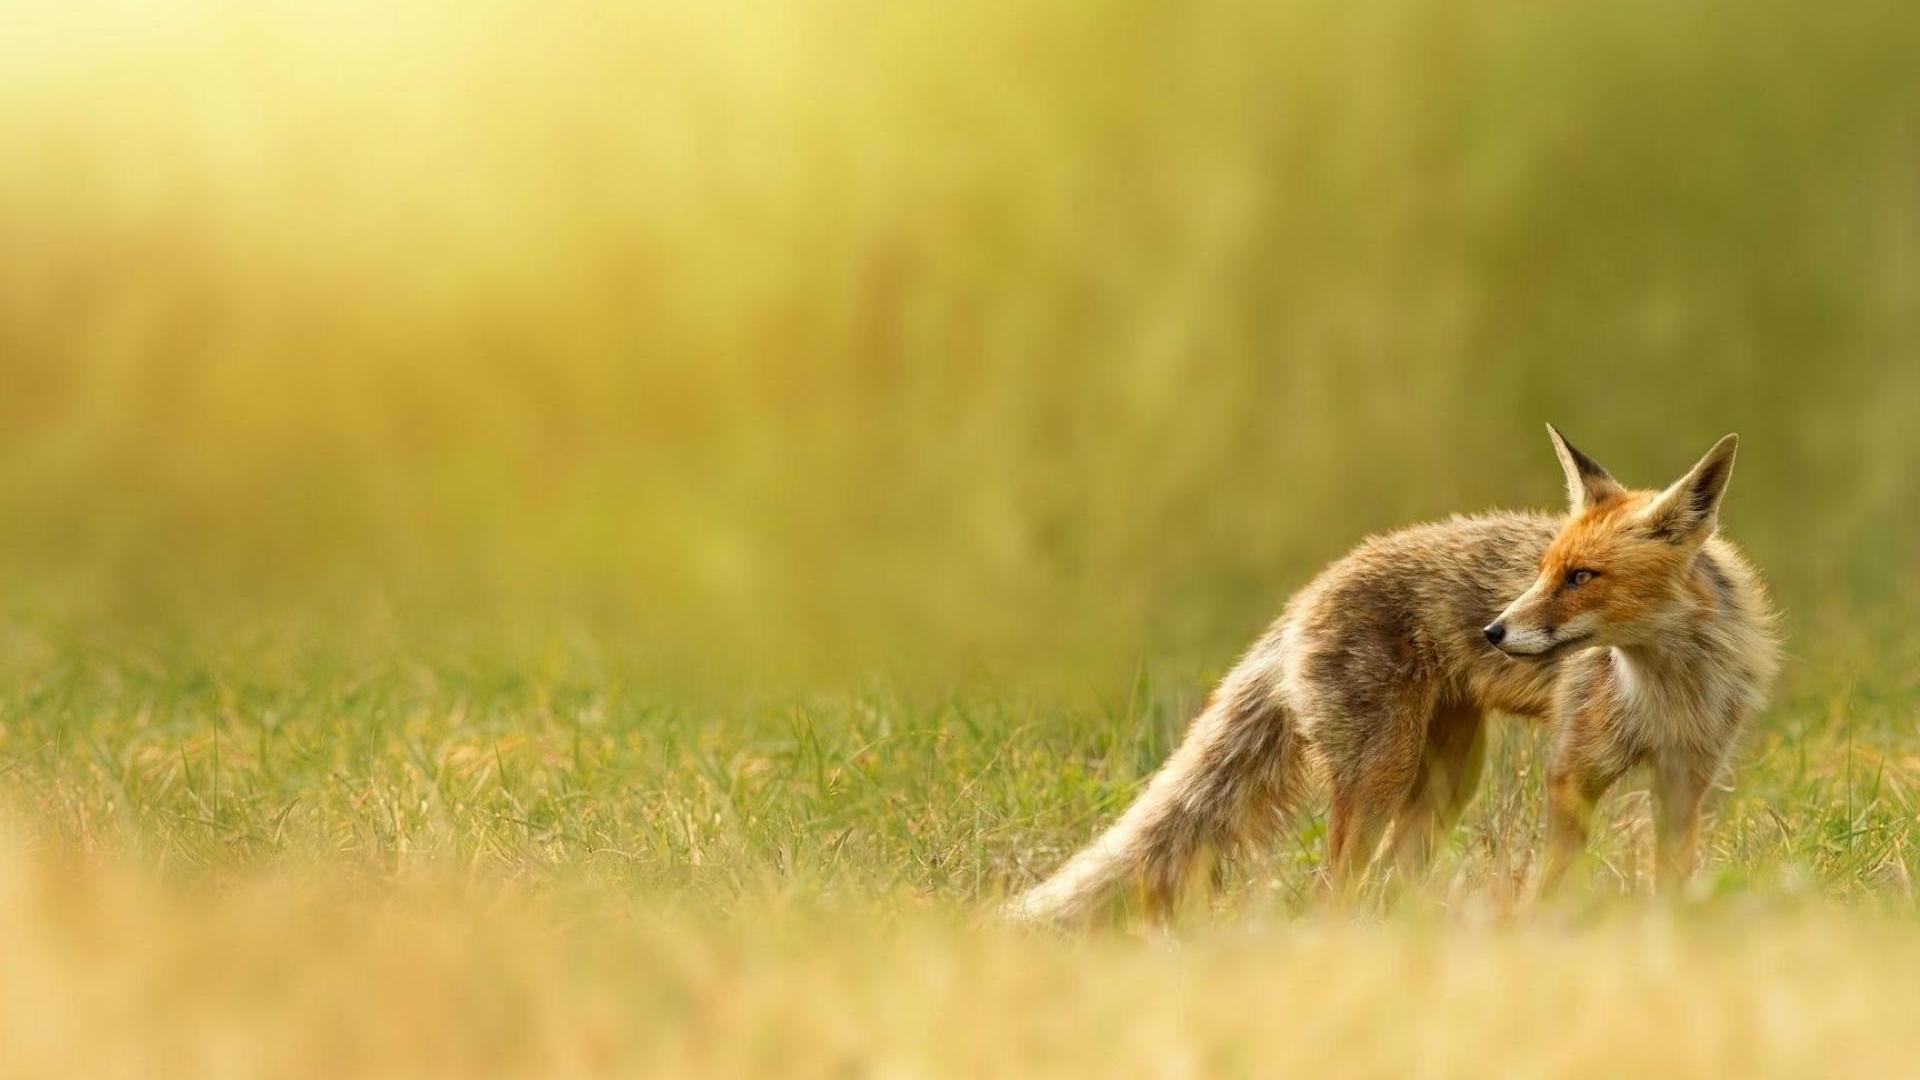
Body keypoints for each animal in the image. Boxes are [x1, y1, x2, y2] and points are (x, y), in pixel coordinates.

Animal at [1012, 426, 1779, 923]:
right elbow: (1553, 885)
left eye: (1582, 577)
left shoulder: (1685, 779)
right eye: (1543, 571)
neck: (1667, 690)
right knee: (1334, 892)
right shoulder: (1572, 772)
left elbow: (1672, 884)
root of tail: (1306, 594)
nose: (1494, 632)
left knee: (1385, 883)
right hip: (1383, 773)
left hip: (1444, 783)